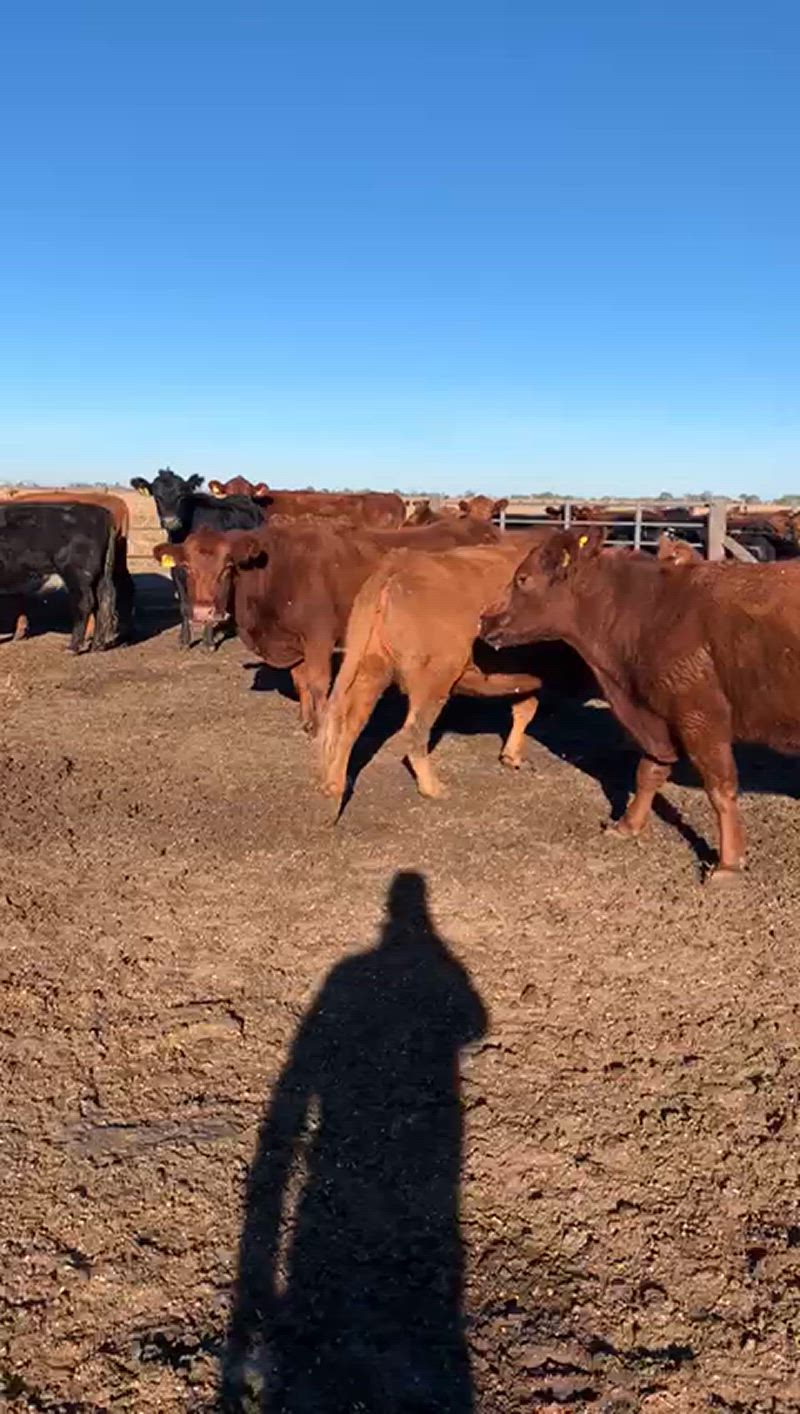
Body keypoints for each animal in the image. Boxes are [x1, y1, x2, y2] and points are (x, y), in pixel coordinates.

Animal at [131, 468, 264, 647]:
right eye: (157, 497)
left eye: (181, 496)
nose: (171, 522)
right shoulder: (177, 571)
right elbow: (184, 605)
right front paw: (184, 640)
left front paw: (208, 641)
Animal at [152, 515, 501, 733]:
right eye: (186, 567)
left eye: (227, 567)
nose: (203, 611)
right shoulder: (293, 640)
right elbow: (300, 681)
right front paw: (306, 721)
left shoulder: (319, 636)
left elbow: (319, 682)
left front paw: (320, 727)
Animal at [317, 533, 593, 808]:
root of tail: (402, 562)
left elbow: (525, 709)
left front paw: (512, 757)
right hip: (434, 682)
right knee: (414, 730)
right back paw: (432, 788)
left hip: (371, 670)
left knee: (351, 722)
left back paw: (334, 785)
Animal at [480, 526, 800, 882]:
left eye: (522, 578)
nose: (484, 620)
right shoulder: (657, 720)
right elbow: (648, 772)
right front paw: (627, 825)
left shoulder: (701, 717)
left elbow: (720, 788)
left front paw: (728, 864)